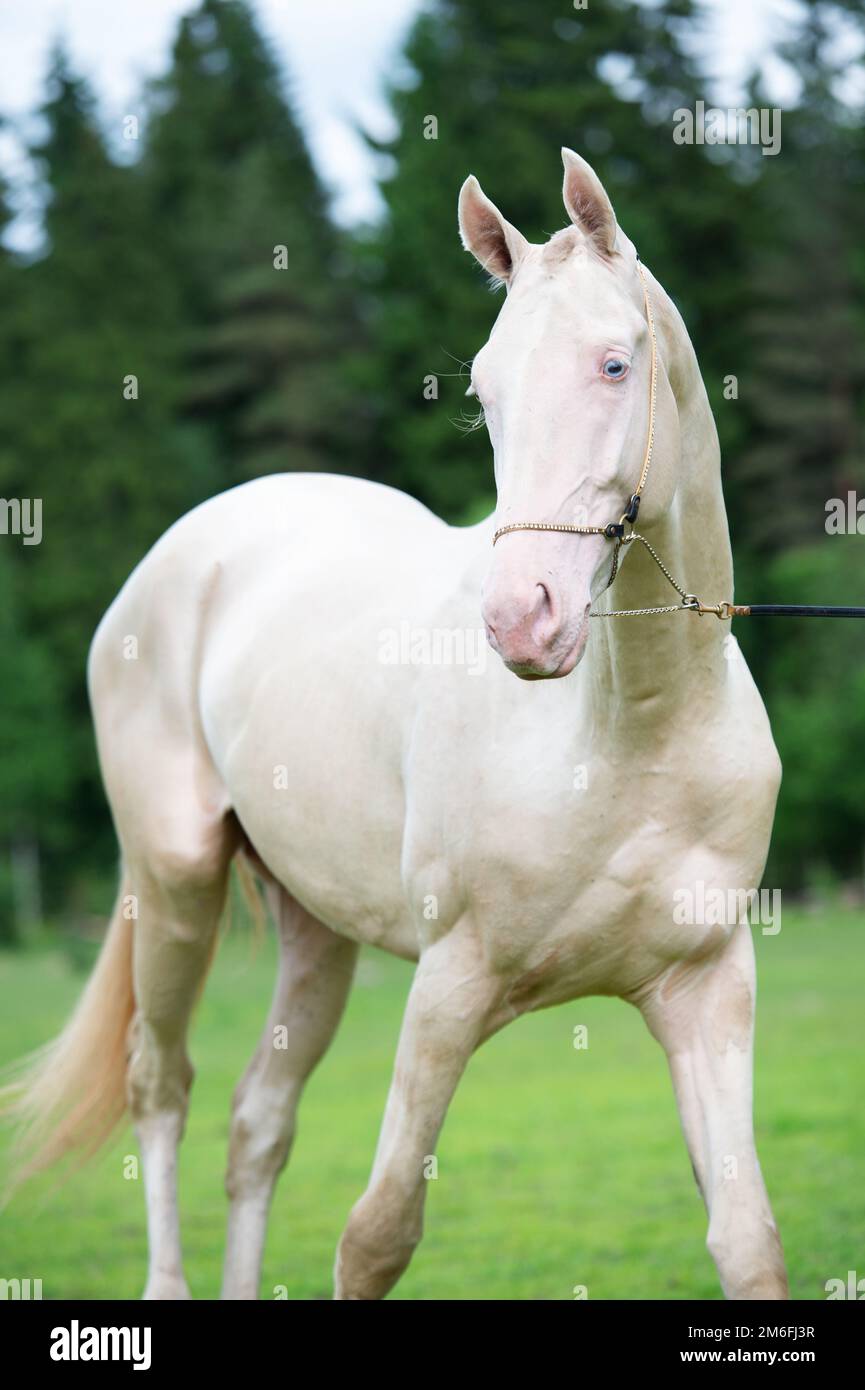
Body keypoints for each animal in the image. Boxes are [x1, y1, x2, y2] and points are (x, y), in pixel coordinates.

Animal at [5, 148, 788, 1300]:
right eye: (483, 390)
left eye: (613, 365)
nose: (521, 620)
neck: (633, 734)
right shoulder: (448, 989)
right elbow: (376, 1235)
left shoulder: (706, 990)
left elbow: (745, 1239)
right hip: (174, 883)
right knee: (162, 1088)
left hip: (315, 930)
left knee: (257, 1122)